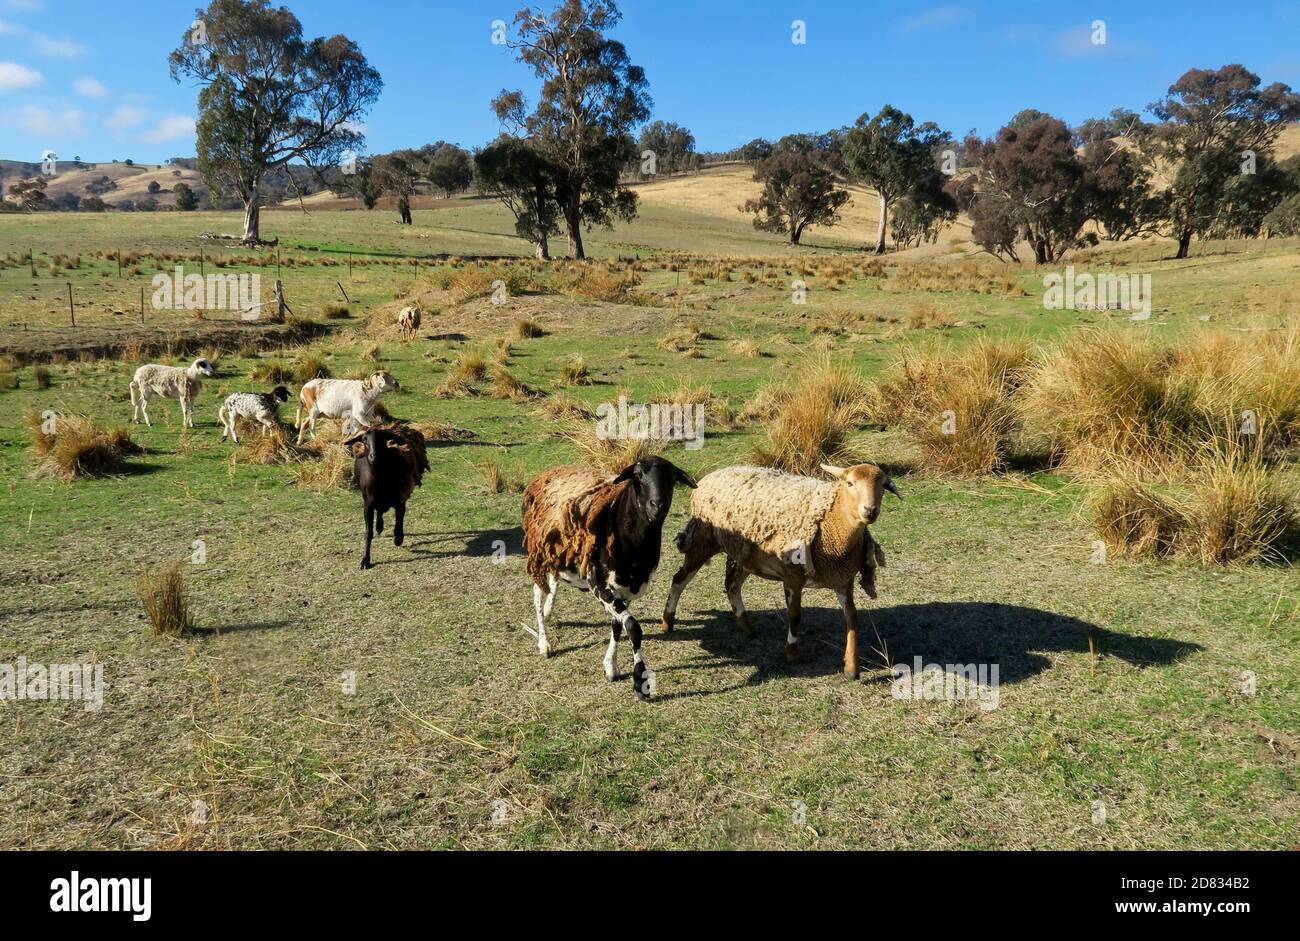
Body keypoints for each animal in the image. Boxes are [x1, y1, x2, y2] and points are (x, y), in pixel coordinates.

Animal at [346, 422, 430, 570]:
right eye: (364, 440)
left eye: (383, 439)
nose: (374, 457)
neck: (380, 481)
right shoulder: (367, 505)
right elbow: (368, 533)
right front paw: (365, 560)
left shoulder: (400, 501)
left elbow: (399, 522)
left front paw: (398, 539)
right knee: (379, 513)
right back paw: (379, 526)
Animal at [522, 456, 697, 699]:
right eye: (637, 475)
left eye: (672, 477)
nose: (657, 505)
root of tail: (547, 472)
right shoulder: (600, 585)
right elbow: (633, 628)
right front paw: (640, 681)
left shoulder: (626, 589)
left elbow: (617, 627)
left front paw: (611, 667)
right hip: (538, 554)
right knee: (537, 595)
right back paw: (544, 642)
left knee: (553, 584)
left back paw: (548, 613)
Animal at [661, 463, 900, 680]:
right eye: (850, 483)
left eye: (882, 486)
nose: (870, 511)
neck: (829, 521)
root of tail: (709, 477)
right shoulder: (792, 577)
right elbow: (794, 616)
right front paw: (791, 653)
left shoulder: (843, 579)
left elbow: (852, 618)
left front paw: (851, 667)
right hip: (702, 542)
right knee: (679, 580)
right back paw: (667, 621)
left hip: (744, 555)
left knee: (731, 586)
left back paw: (747, 627)